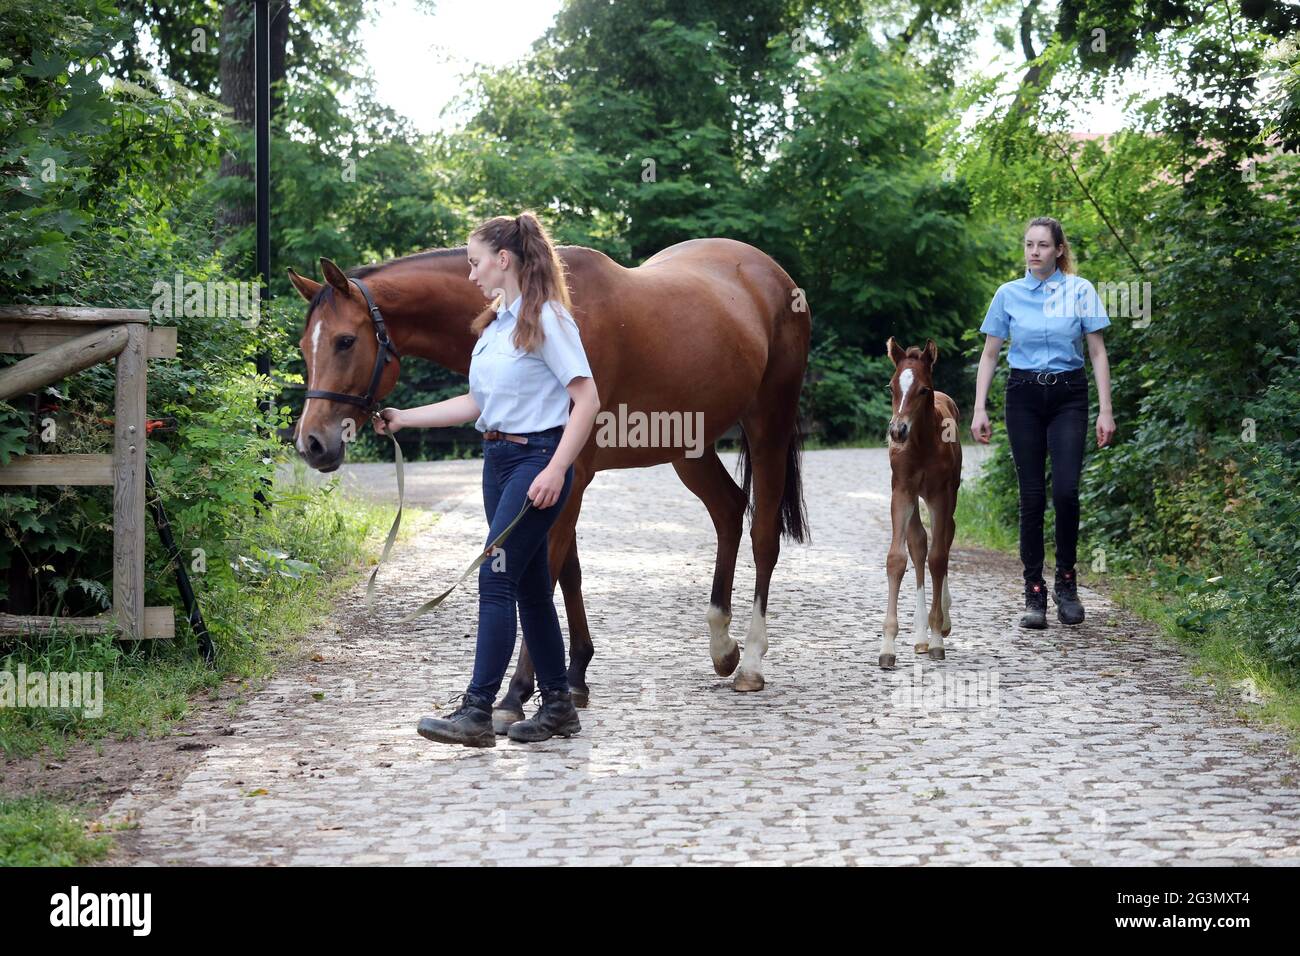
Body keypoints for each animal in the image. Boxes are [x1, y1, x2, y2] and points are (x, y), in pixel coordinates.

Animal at [287, 238, 810, 729]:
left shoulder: (564, 479)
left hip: (768, 424)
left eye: (345, 341)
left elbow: (543, 575)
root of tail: (771, 273)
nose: (311, 443)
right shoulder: (557, 485)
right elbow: (567, 572)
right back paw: (722, 646)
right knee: (728, 510)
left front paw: (516, 695)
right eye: (304, 347)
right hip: (689, 447)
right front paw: (574, 677)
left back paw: (752, 661)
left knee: (763, 535)